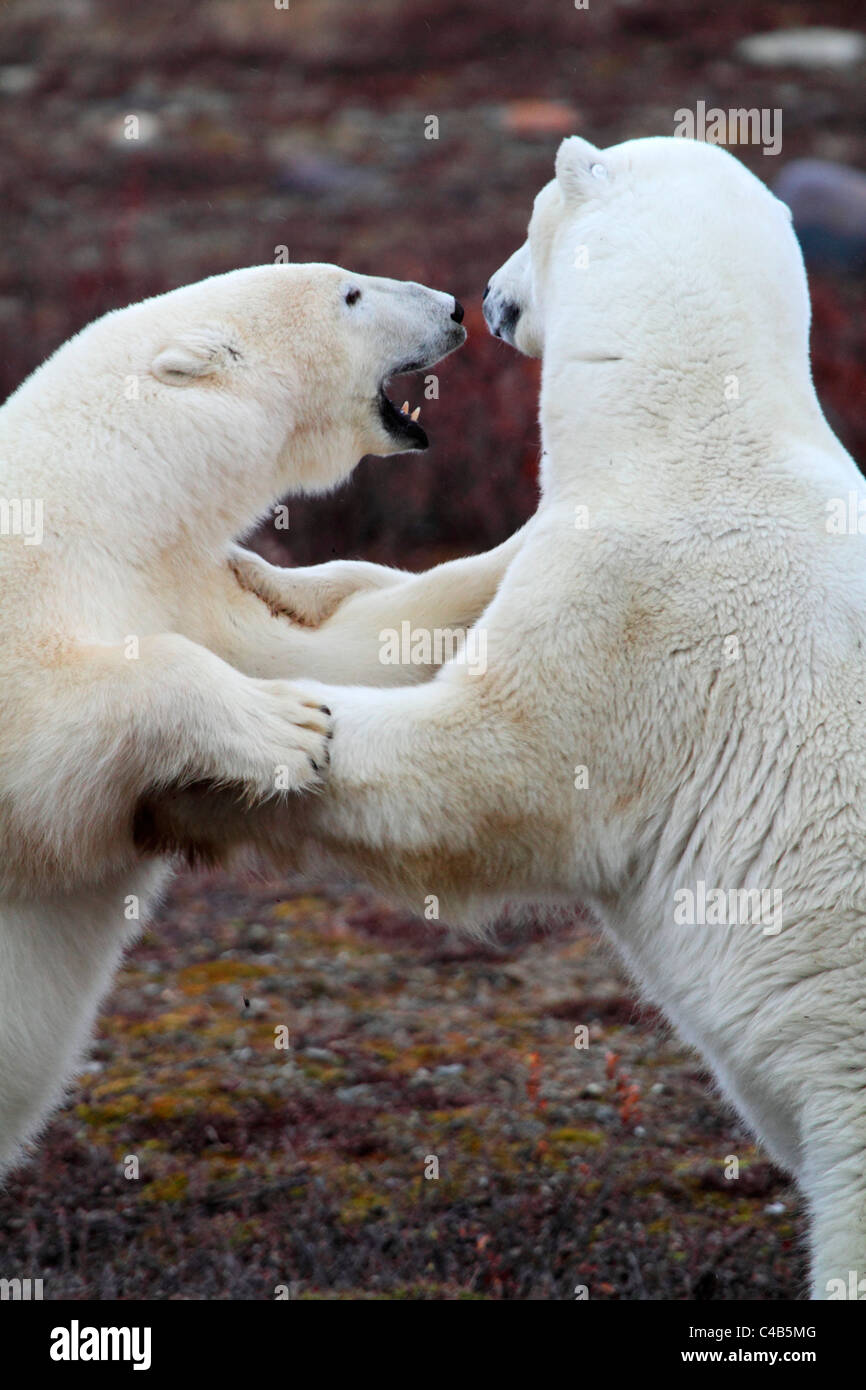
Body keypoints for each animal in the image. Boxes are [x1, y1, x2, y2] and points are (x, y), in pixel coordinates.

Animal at [0, 260, 529, 1174]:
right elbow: (46, 732)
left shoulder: (180, 582)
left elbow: (344, 653)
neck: (95, 498)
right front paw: (288, 728)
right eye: (350, 294)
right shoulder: (35, 589)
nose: (455, 308)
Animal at [146, 137, 866, 1299]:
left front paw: (205, 771)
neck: (697, 436)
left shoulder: (636, 615)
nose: (477, 293)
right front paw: (260, 578)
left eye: (526, 221)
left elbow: (482, 769)